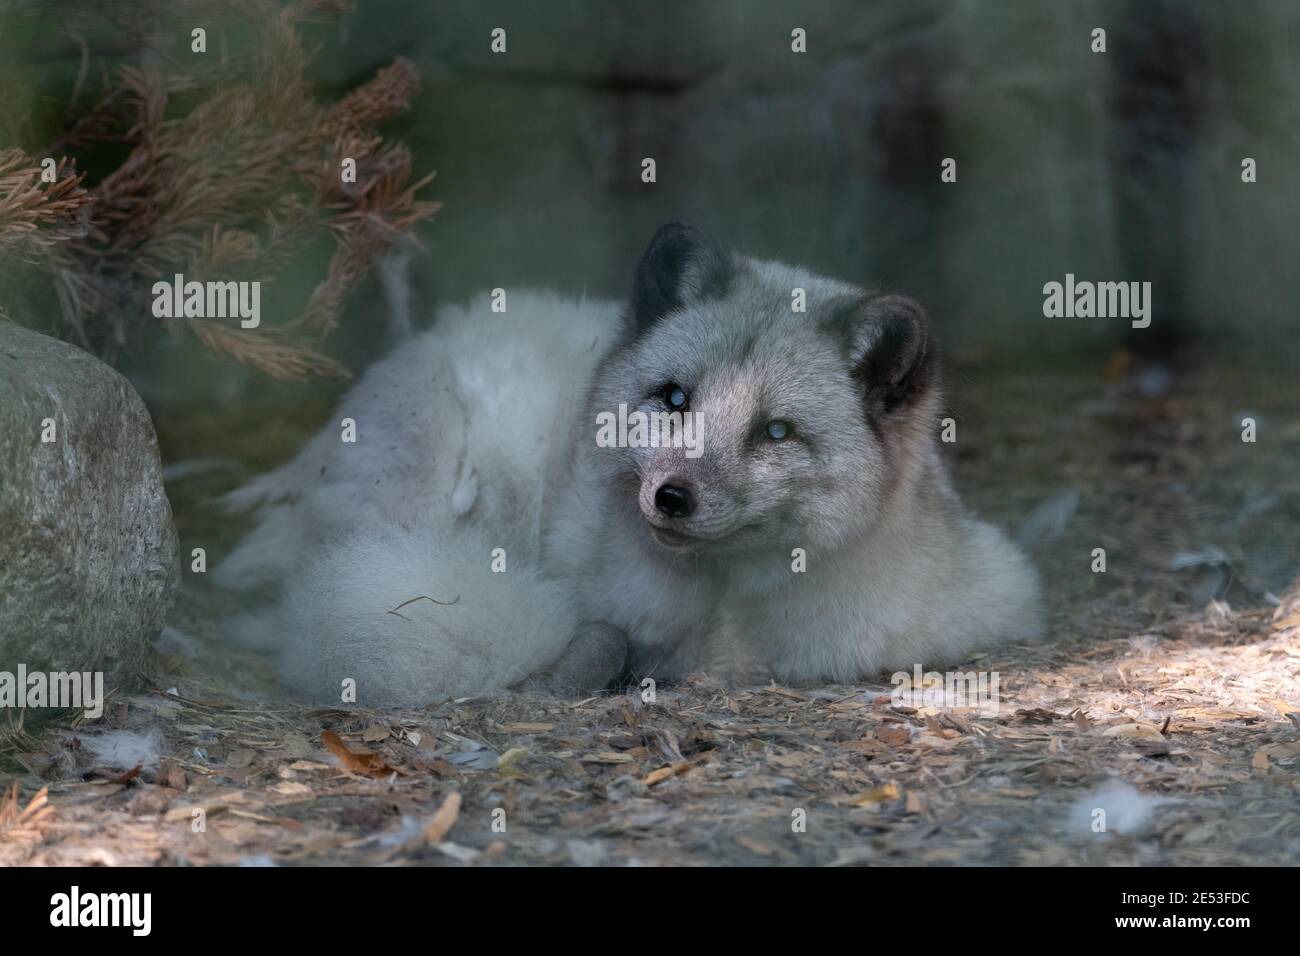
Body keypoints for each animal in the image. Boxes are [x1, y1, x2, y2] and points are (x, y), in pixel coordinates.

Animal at [214, 221, 1043, 706]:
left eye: (776, 432)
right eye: (674, 397)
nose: (670, 497)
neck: (723, 610)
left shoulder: (985, 600)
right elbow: (599, 633)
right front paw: (588, 666)